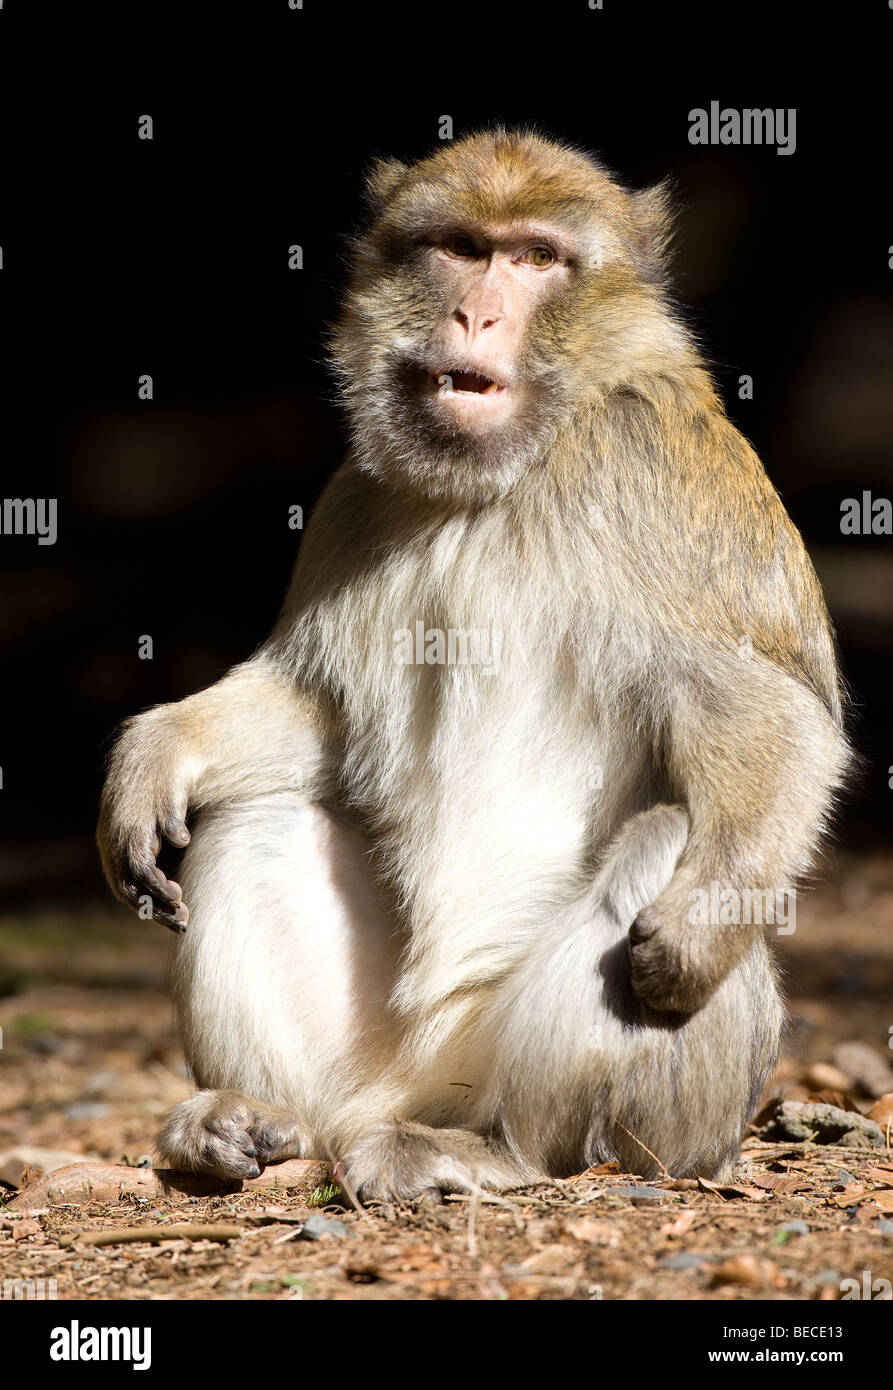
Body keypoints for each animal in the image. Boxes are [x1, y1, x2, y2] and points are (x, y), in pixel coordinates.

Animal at [98, 129, 849, 1200]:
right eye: (458, 248)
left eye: (534, 258)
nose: (475, 313)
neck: (505, 477)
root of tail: (403, 1093)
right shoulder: (350, 499)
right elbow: (318, 706)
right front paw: (157, 751)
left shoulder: (645, 477)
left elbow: (768, 718)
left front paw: (697, 931)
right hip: (375, 1054)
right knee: (261, 815)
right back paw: (250, 1120)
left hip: (600, 1102)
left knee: (659, 844)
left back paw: (499, 1151)